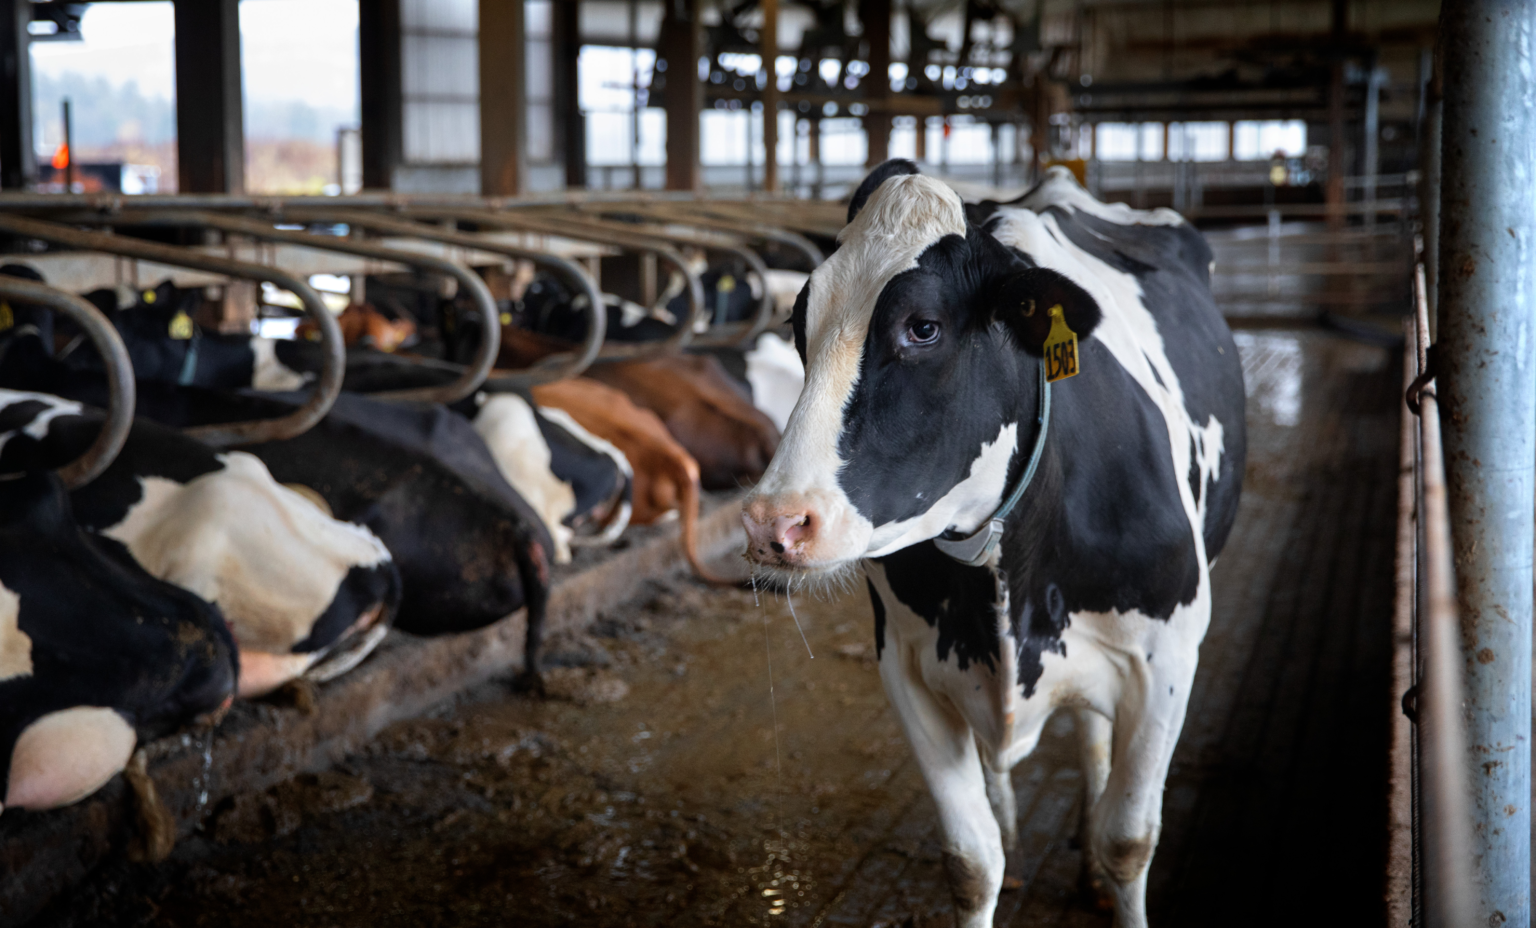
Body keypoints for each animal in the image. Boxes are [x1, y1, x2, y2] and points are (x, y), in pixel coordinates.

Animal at [741, 162, 1245, 928]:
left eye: (922, 327)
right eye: (801, 324)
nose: (775, 522)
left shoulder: (1169, 658)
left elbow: (1129, 840)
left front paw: (1109, 865)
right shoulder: (907, 665)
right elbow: (971, 863)